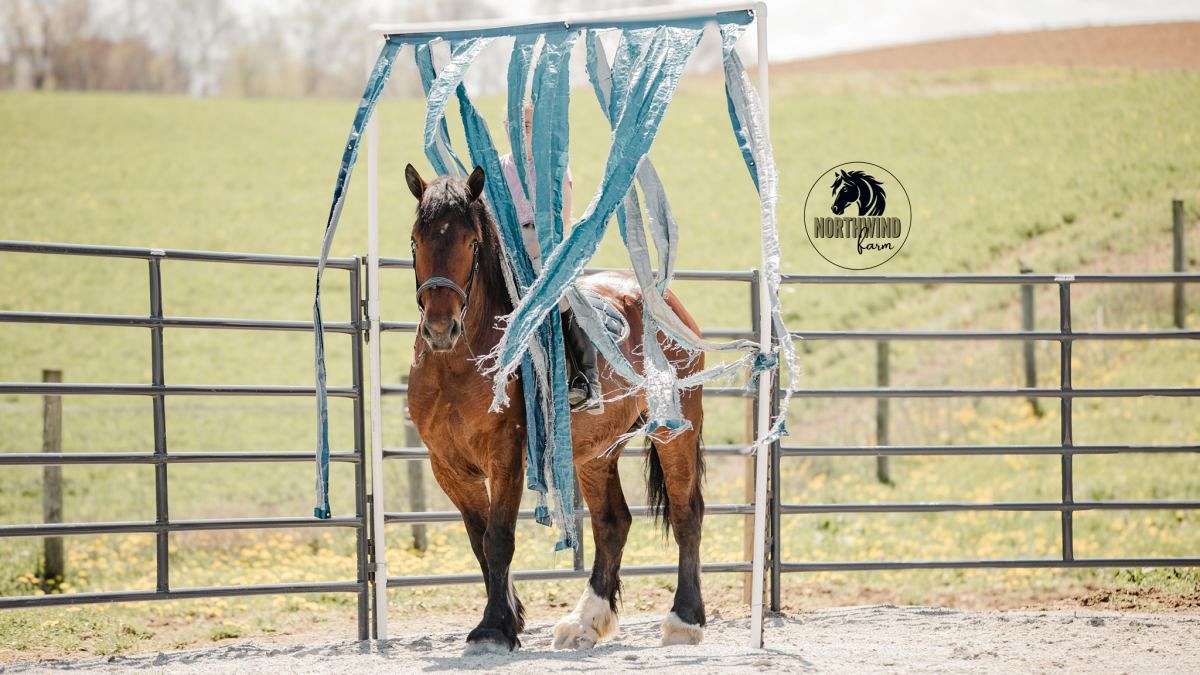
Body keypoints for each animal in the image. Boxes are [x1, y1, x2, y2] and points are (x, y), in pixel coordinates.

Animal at [402, 163, 708, 653]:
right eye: (417, 240)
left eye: (471, 242)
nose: (439, 327)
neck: (458, 365)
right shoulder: (448, 466)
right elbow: (478, 541)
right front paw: (509, 617)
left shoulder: (506, 457)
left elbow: (498, 539)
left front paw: (494, 628)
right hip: (595, 452)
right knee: (611, 523)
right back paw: (584, 622)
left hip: (674, 431)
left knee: (686, 513)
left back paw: (684, 619)